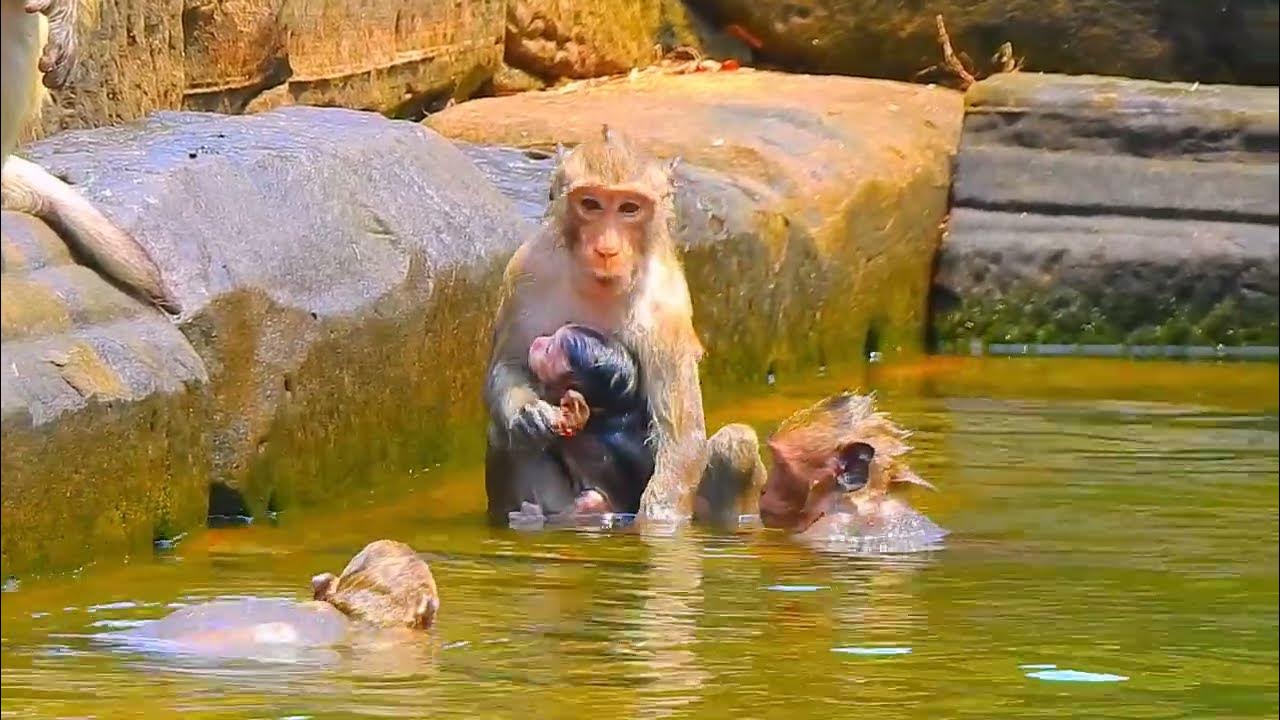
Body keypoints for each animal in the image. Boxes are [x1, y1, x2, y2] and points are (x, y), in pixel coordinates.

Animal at [484, 125, 728, 527]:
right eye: (591, 204)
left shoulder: (668, 308)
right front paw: (528, 413)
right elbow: (509, 366)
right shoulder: (528, 269)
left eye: (629, 208)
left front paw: (658, 523)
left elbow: (682, 440)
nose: (607, 249)